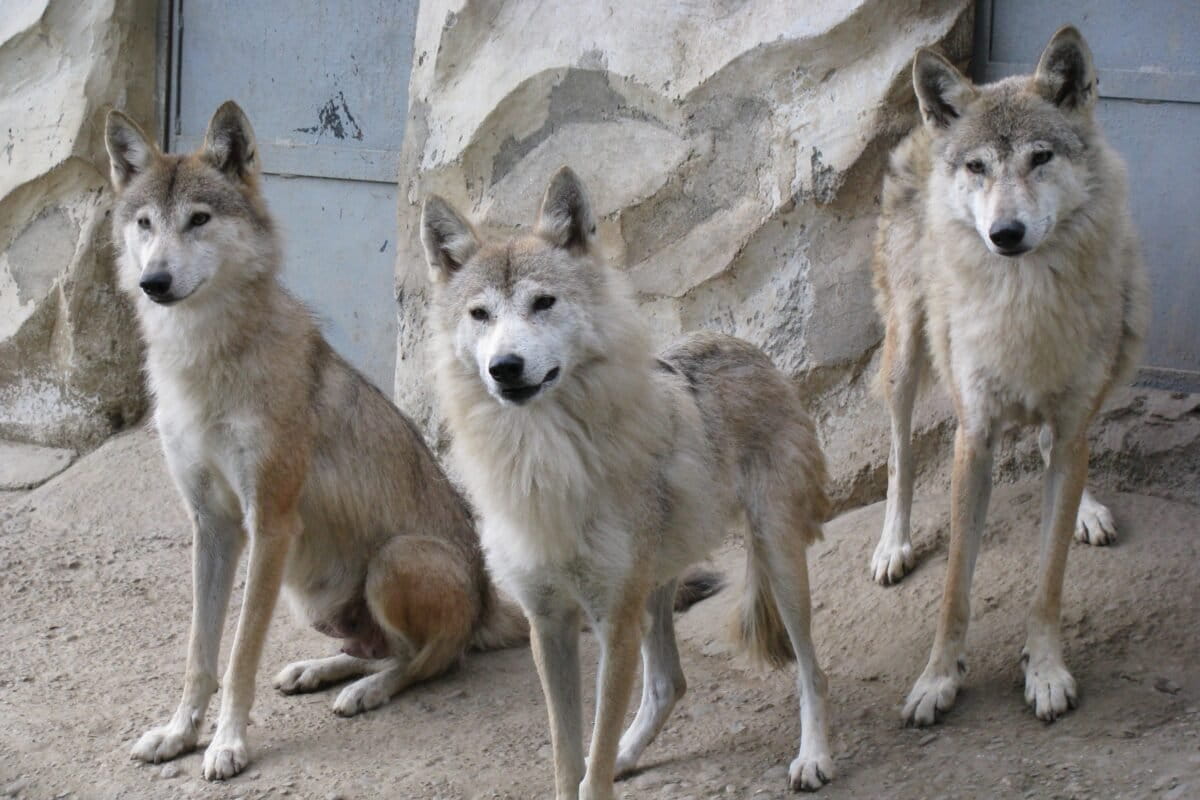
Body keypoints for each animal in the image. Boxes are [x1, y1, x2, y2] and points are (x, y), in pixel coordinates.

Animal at [104, 101, 530, 780]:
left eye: (198, 220)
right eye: (145, 224)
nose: (154, 282)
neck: (200, 361)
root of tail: (490, 604)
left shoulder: (270, 524)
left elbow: (240, 654)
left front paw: (227, 744)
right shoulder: (211, 526)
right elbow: (200, 653)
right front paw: (178, 733)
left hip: (393, 560)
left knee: (431, 660)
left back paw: (366, 691)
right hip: (315, 598)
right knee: (381, 649)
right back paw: (317, 670)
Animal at [423, 167, 835, 798]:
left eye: (543, 303)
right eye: (480, 315)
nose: (505, 368)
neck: (541, 458)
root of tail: (741, 345)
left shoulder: (610, 622)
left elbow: (590, 765)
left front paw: (600, 772)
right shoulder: (549, 624)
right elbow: (569, 756)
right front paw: (588, 768)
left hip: (776, 560)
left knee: (811, 668)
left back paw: (813, 757)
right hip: (656, 587)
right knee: (669, 683)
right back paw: (628, 753)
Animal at [870, 26, 1149, 726]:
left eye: (1040, 157)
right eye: (978, 168)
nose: (1005, 233)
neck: (1024, 302)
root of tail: (927, 127)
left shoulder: (1073, 419)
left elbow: (1049, 576)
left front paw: (1045, 671)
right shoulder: (974, 437)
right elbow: (954, 587)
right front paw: (937, 679)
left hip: (1127, 334)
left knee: (1058, 448)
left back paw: (1088, 509)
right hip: (904, 356)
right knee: (899, 456)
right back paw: (892, 546)